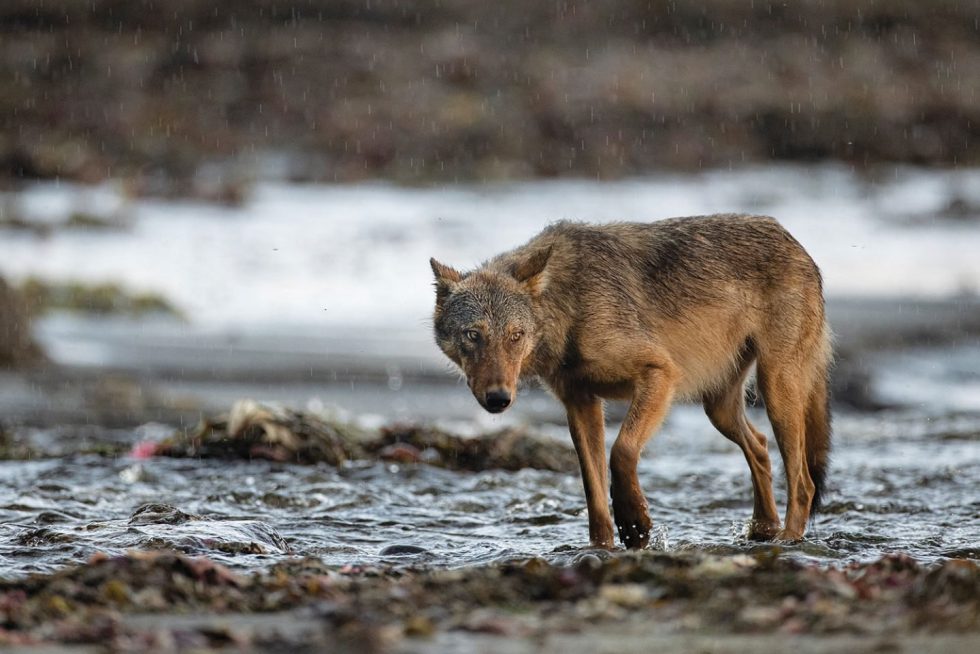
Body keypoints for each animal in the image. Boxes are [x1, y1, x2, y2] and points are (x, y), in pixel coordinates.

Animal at [429, 216, 832, 549]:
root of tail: (797, 244)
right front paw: (603, 547)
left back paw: (787, 540)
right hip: (719, 409)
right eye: (473, 335)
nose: (498, 399)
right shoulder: (582, 404)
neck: (568, 305)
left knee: (804, 482)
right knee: (760, 447)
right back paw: (762, 530)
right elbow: (594, 493)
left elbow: (622, 452)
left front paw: (635, 525)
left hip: (775, 390)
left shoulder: (660, 373)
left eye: (515, 335)